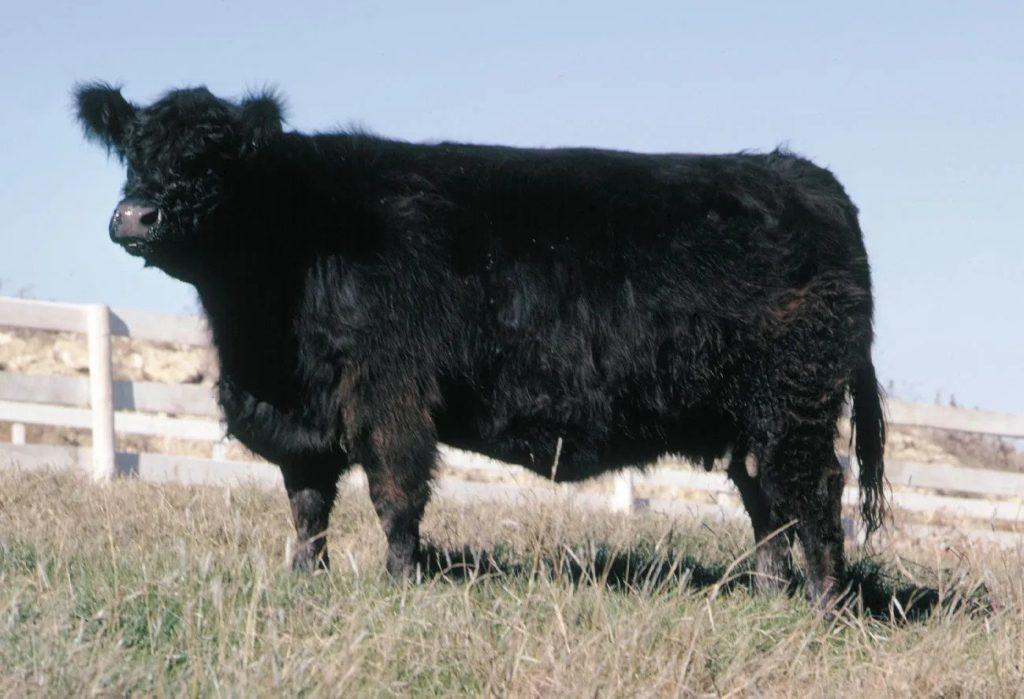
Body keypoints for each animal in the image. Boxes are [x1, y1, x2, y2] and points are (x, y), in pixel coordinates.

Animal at [75, 83, 885, 606]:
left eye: (213, 161)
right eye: (133, 152)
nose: (135, 216)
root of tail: (799, 174)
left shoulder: (389, 395)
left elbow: (396, 496)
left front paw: (401, 586)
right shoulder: (303, 419)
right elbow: (307, 506)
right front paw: (304, 582)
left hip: (795, 401)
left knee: (814, 491)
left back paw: (823, 608)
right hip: (749, 417)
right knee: (767, 502)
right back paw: (771, 599)